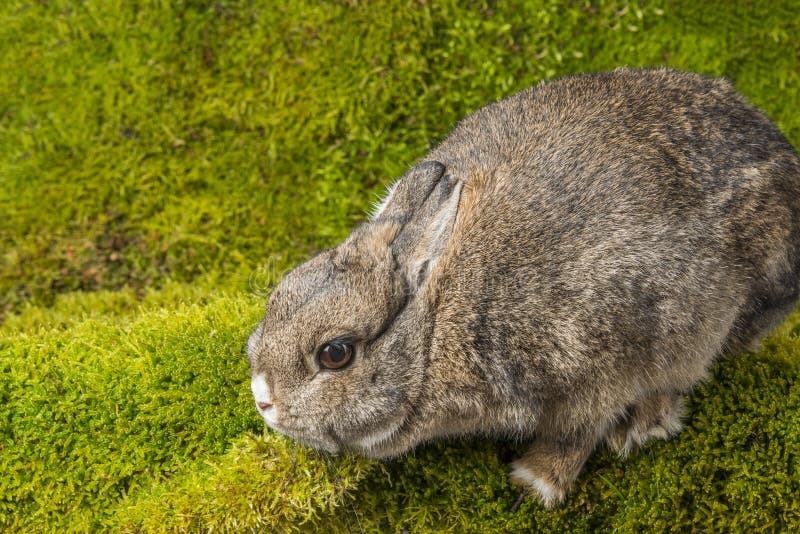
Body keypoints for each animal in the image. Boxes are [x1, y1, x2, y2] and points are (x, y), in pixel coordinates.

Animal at [246, 67, 800, 508]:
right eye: (280, 293)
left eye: (335, 353)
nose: (263, 401)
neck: (435, 327)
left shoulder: (597, 365)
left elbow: (576, 433)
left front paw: (534, 483)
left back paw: (645, 423)